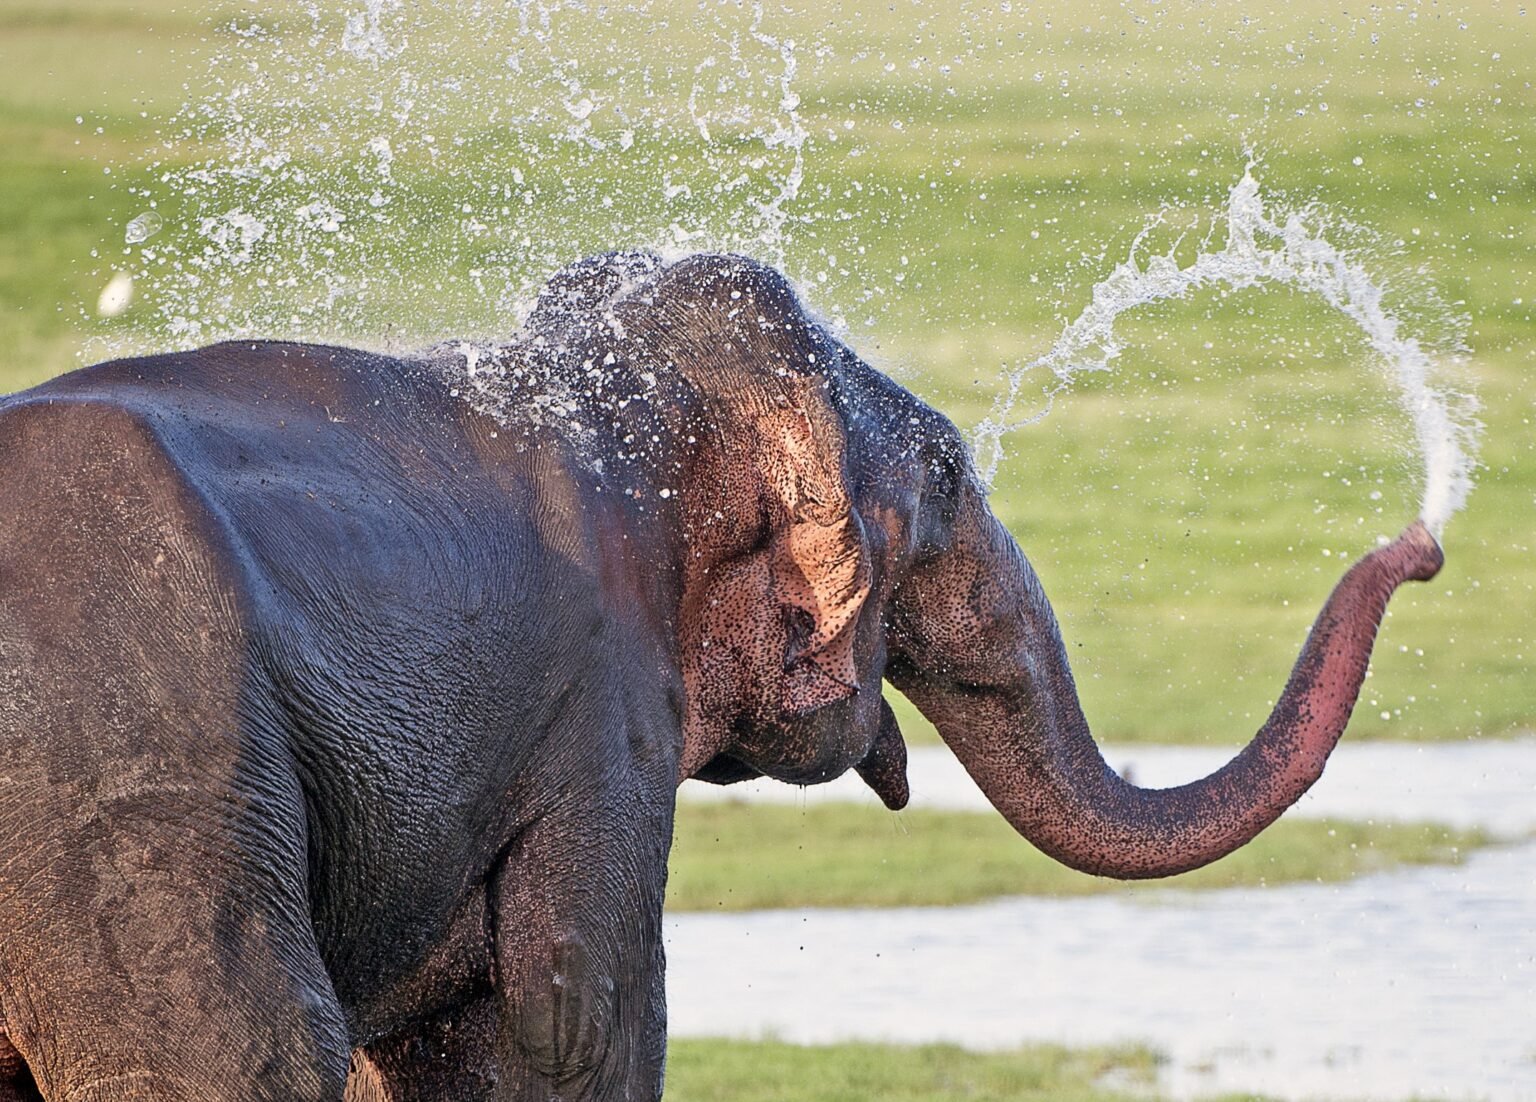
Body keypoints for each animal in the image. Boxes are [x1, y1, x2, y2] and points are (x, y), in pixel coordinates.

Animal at [0, 251, 1442, 1100]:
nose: (1423, 544)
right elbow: (572, 1016)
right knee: (243, 1046)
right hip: (146, 780)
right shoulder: (599, 718)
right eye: (950, 474)